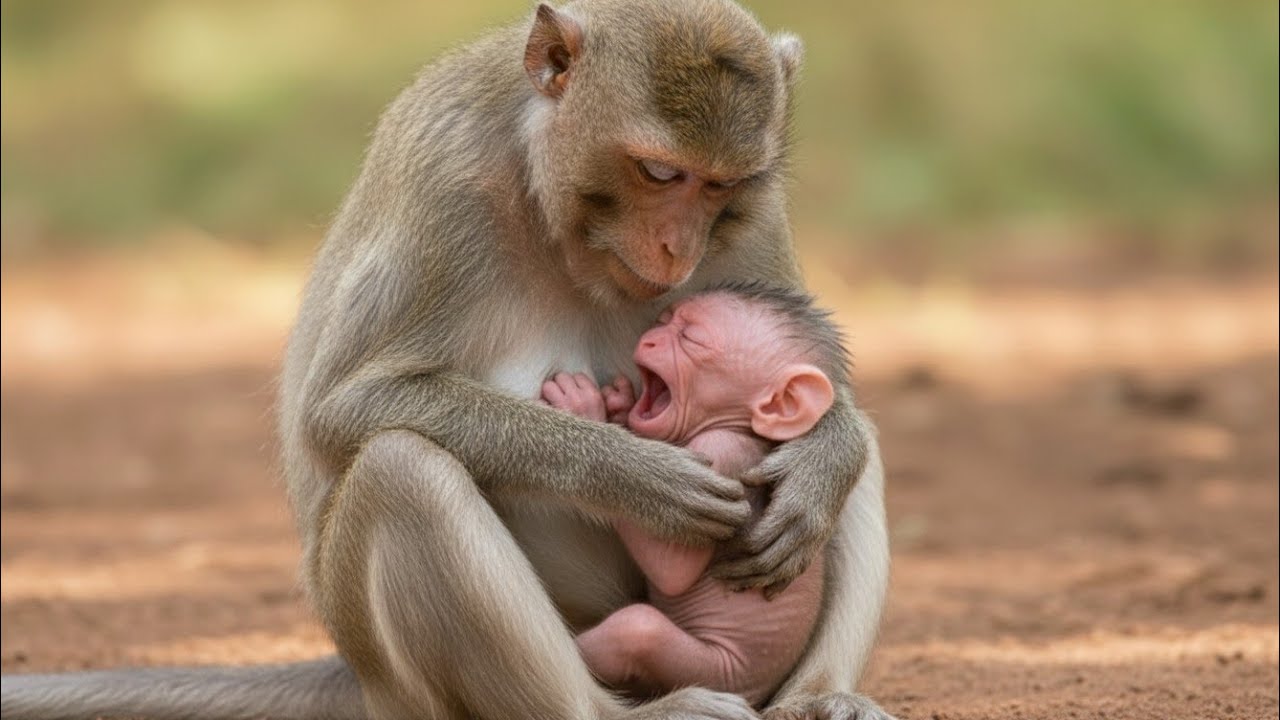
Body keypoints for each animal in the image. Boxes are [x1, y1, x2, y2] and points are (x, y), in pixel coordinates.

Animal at [542, 284, 847, 707]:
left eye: (691, 337)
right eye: (665, 321)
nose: (650, 338)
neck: (740, 427)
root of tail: (759, 693)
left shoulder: (719, 451)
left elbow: (674, 570)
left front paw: (587, 409)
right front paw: (617, 406)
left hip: (714, 669)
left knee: (637, 630)